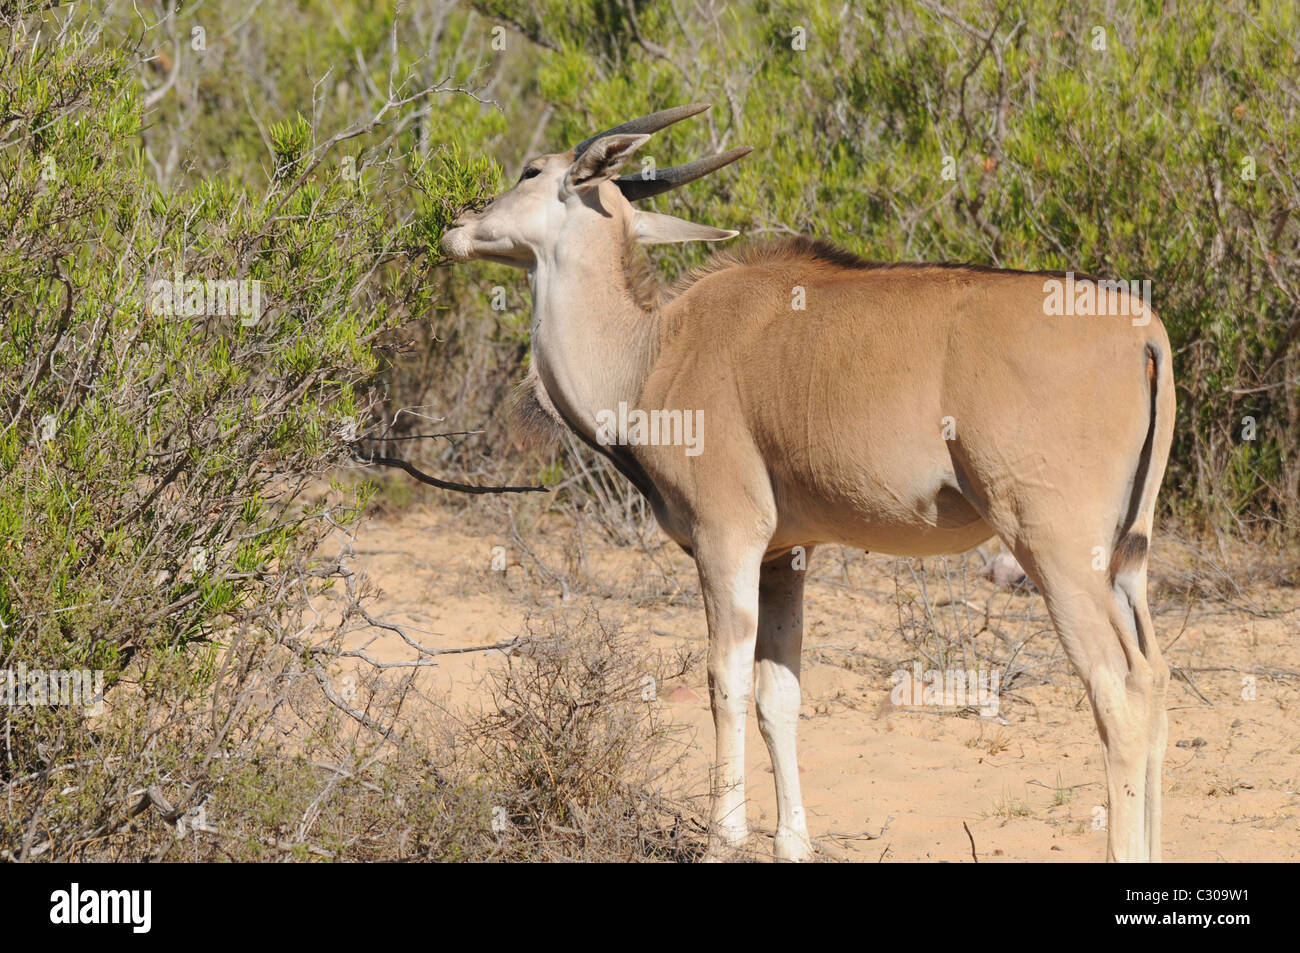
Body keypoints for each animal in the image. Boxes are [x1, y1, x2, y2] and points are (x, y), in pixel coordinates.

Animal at [441, 104, 1175, 862]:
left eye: (530, 170)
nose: (456, 224)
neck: (653, 350)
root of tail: (1143, 331)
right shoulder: (784, 555)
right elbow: (780, 693)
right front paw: (792, 841)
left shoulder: (727, 539)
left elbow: (726, 681)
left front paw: (723, 838)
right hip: (1125, 560)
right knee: (1154, 680)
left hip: (1055, 551)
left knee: (1118, 689)